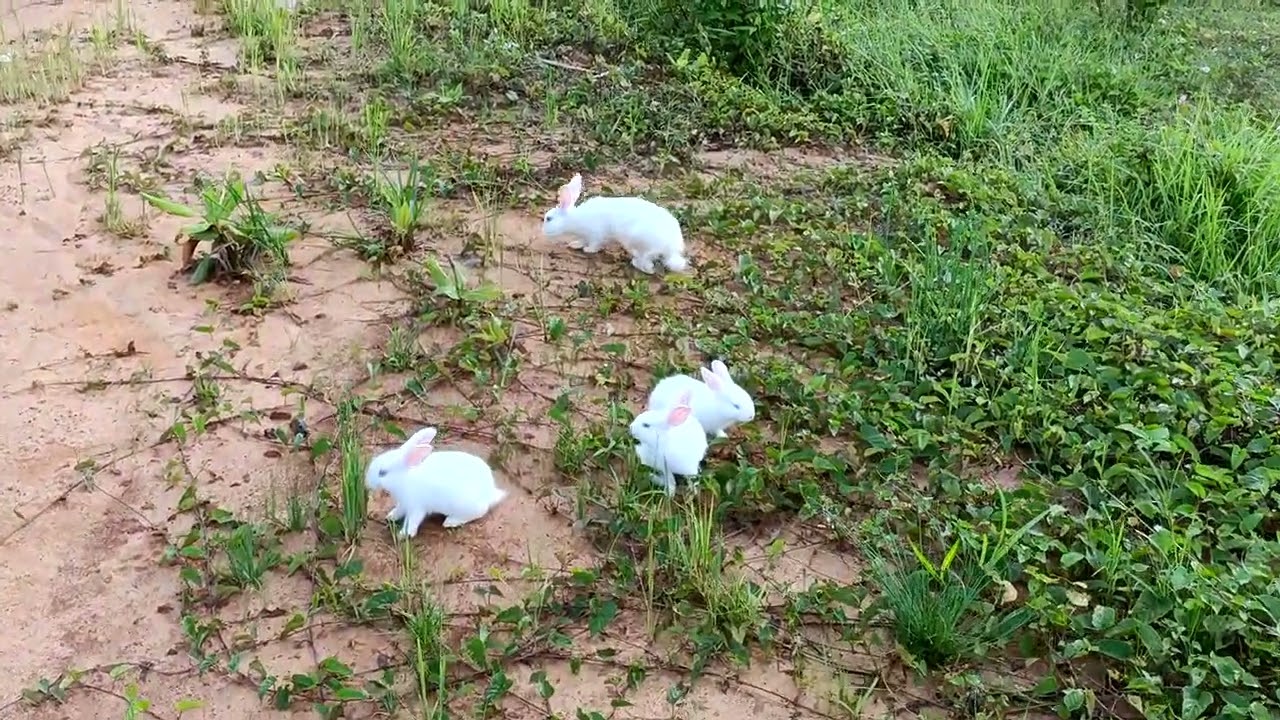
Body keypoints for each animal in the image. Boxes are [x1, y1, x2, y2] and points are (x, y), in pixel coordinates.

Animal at [364, 427, 508, 538]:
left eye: (382, 473)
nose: (367, 483)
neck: (404, 478)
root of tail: (489, 493)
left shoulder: (417, 507)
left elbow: (412, 521)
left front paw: (404, 535)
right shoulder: (404, 503)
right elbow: (399, 510)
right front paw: (391, 517)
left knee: (479, 513)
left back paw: (450, 522)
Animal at [541, 172, 690, 275]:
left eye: (549, 219)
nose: (543, 231)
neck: (574, 218)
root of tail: (671, 247)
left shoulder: (596, 234)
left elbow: (595, 244)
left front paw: (588, 250)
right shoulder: (585, 235)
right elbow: (582, 241)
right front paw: (575, 244)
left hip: (639, 242)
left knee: (645, 261)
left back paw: (641, 265)